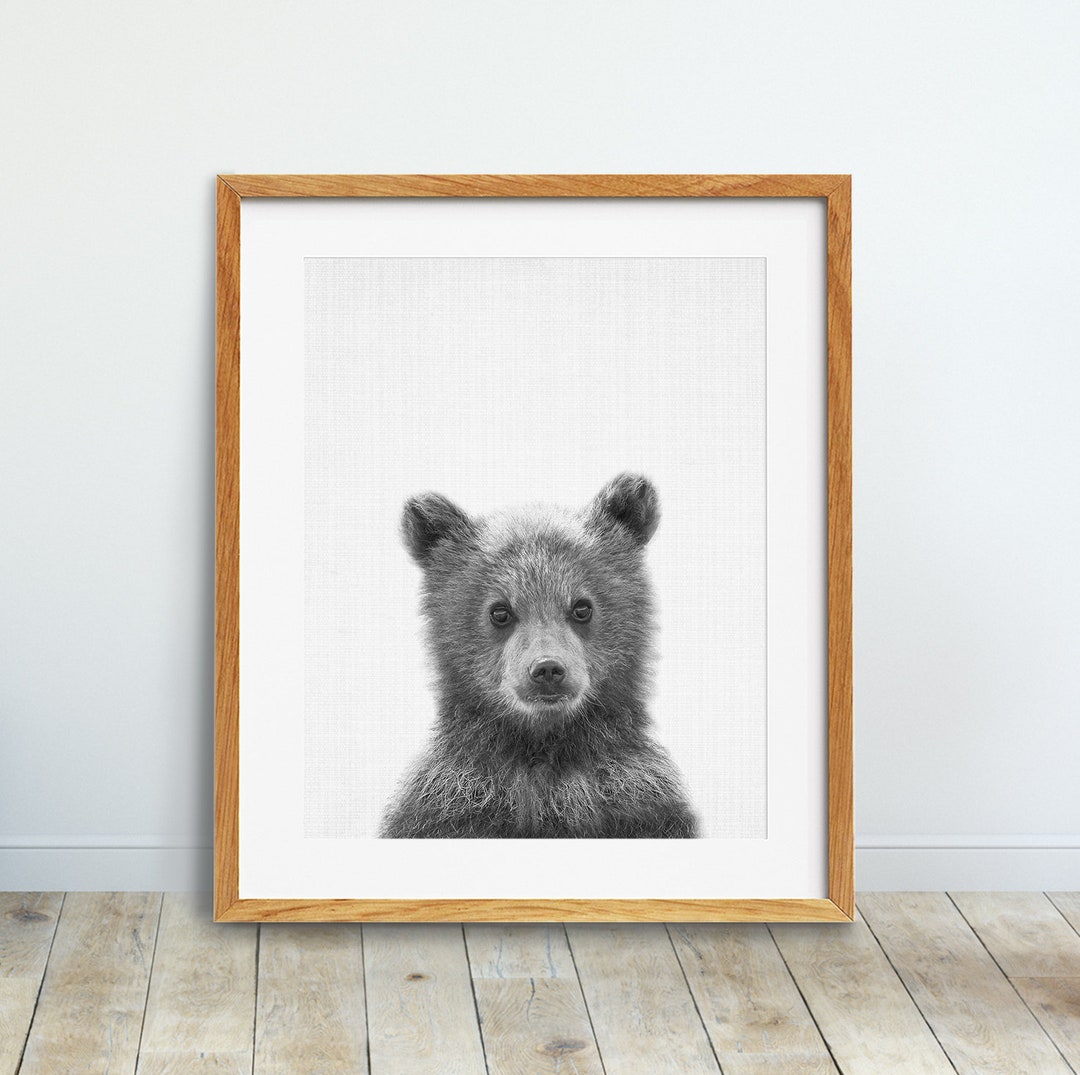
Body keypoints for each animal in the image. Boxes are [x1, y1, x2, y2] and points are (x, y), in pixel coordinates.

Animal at [379, 472, 699, 839]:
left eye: (582, 607)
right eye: (500, 611)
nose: (547, 669)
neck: (541, 745)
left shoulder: (641, 804)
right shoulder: (448, 804)